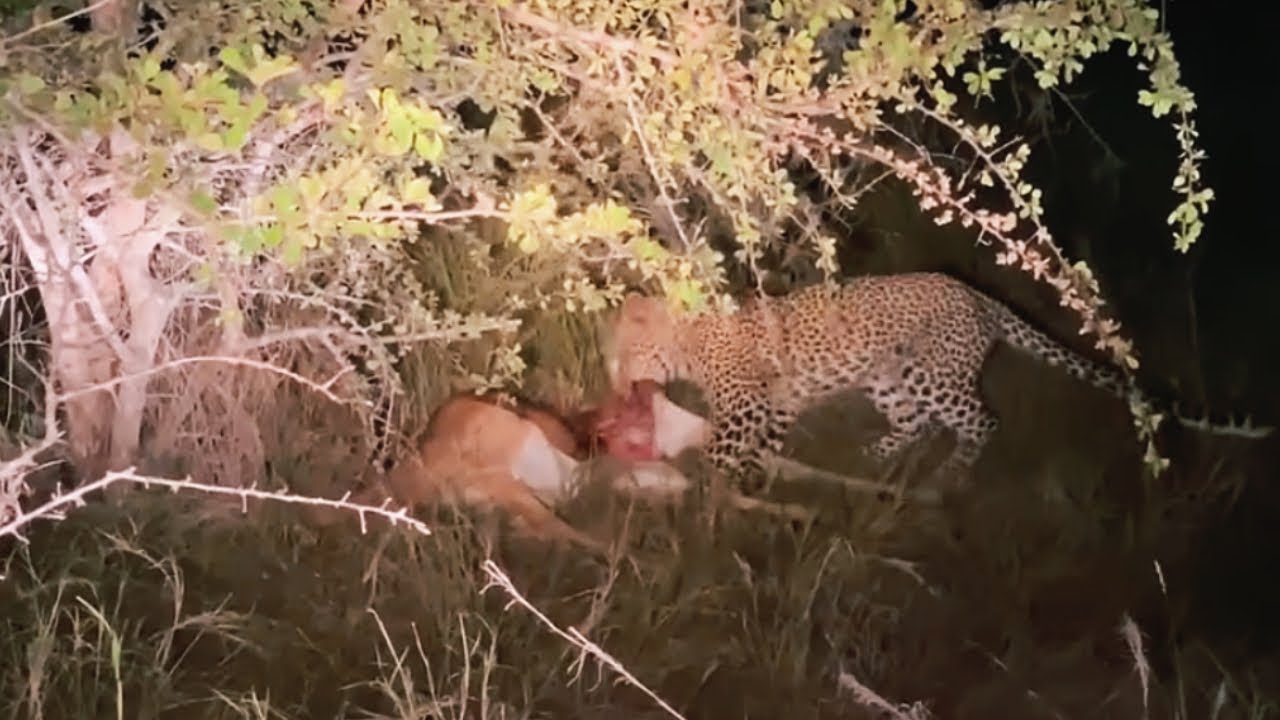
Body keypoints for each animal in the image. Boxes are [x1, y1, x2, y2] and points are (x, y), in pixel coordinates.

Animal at [603, 271, 1271, 490]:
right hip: (889, 378)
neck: (688, 342)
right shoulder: (780, 403)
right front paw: (753, 476)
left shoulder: (745, 402)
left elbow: (723, 443)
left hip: (937, 377)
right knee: (913, 424)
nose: (614, 388)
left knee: (981, 421)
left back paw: (950, 476)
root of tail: (979, 296)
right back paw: (875, 453)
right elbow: (765, 444)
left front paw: (707, 477)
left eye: (624, 355)